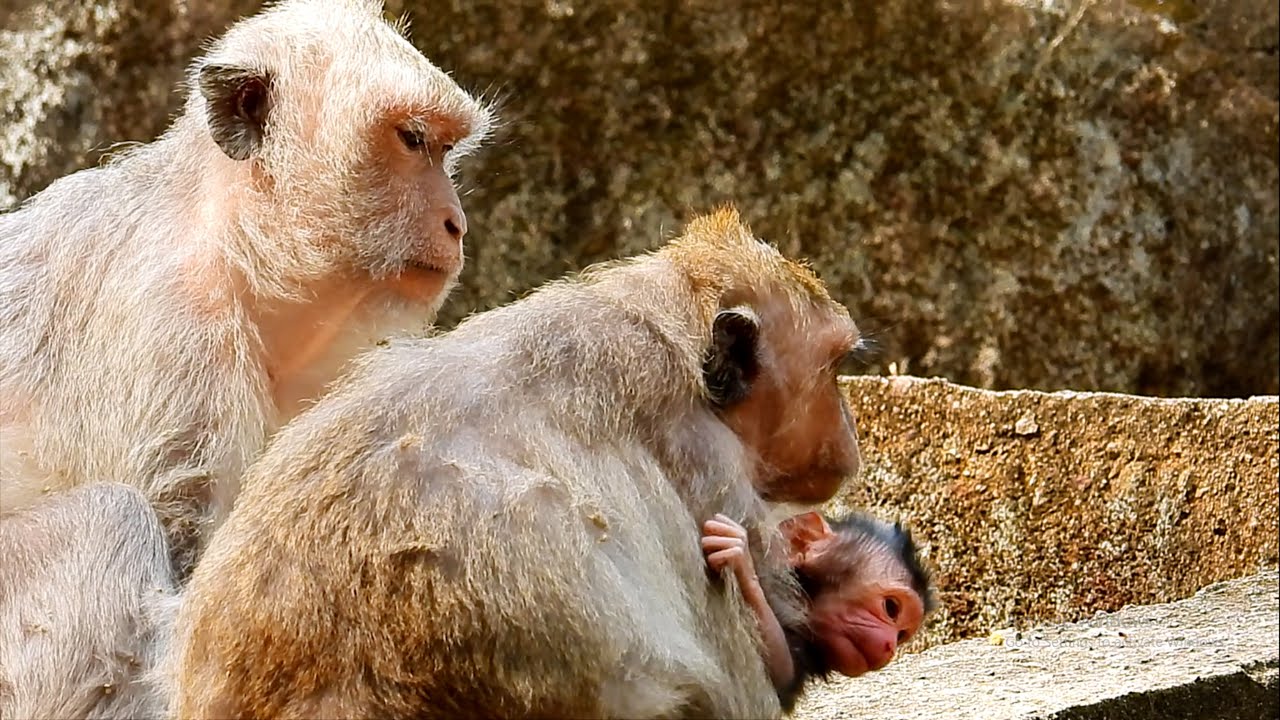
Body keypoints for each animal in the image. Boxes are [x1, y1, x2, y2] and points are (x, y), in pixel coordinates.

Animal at [0, 0, 493, 578]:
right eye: (413, 139)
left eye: (444, 147)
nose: (457, 224)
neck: (233, 252)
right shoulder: (173, 342)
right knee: (108, 514)